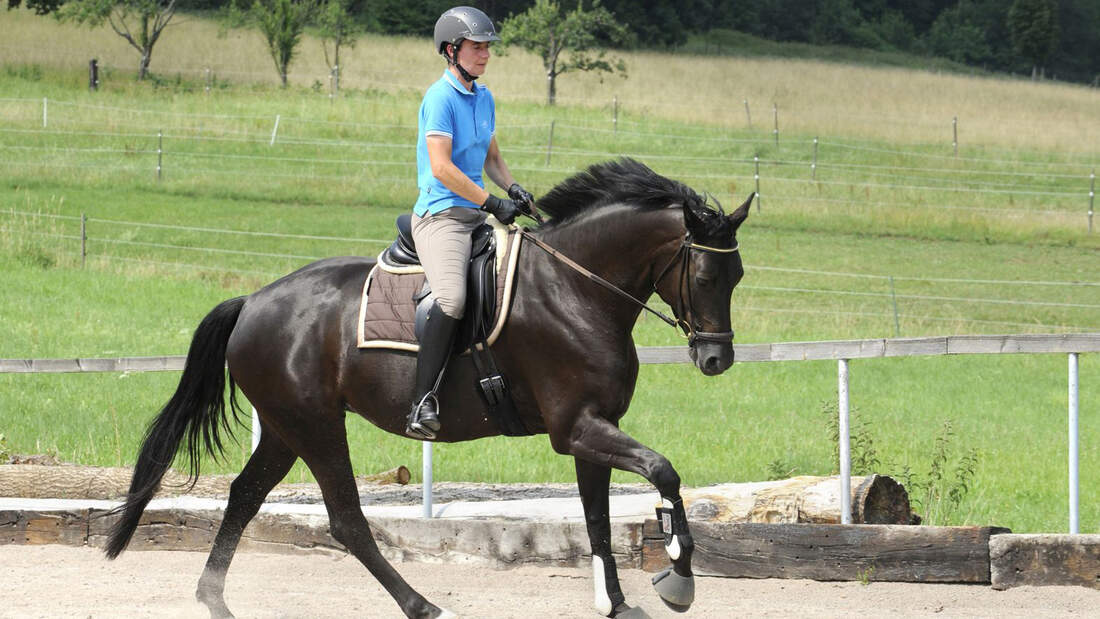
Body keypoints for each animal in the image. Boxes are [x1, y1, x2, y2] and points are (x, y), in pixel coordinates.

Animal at [104, 158, 752, 618]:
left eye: (737, 275)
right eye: (704, 275)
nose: (716, 358)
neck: (576, 287)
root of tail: (254, 301)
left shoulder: (593, 428)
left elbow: (598, 517)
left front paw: (616, 604)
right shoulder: (577, 429)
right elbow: (664, 472)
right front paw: (678, 578)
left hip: (287, 429)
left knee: (244, 496)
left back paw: (215, 600)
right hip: (316, 426)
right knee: (346, 521)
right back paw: (425, 606)